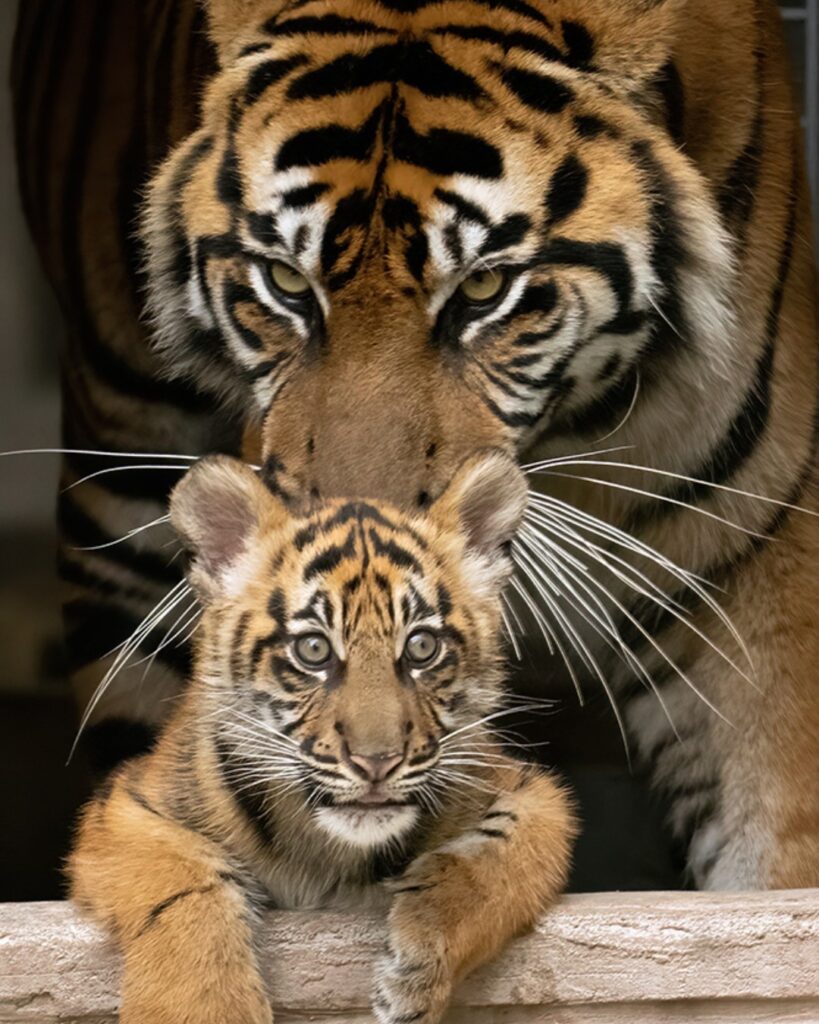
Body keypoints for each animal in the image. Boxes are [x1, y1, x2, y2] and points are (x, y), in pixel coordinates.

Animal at [68, 450, 576, 1024]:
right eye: (313, 649)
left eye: (422, 646)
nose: (377, 762)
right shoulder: (126, 804)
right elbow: (182, 882)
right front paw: (205, 1008)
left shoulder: (536, 794)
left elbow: (495, 863)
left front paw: (412, 975)